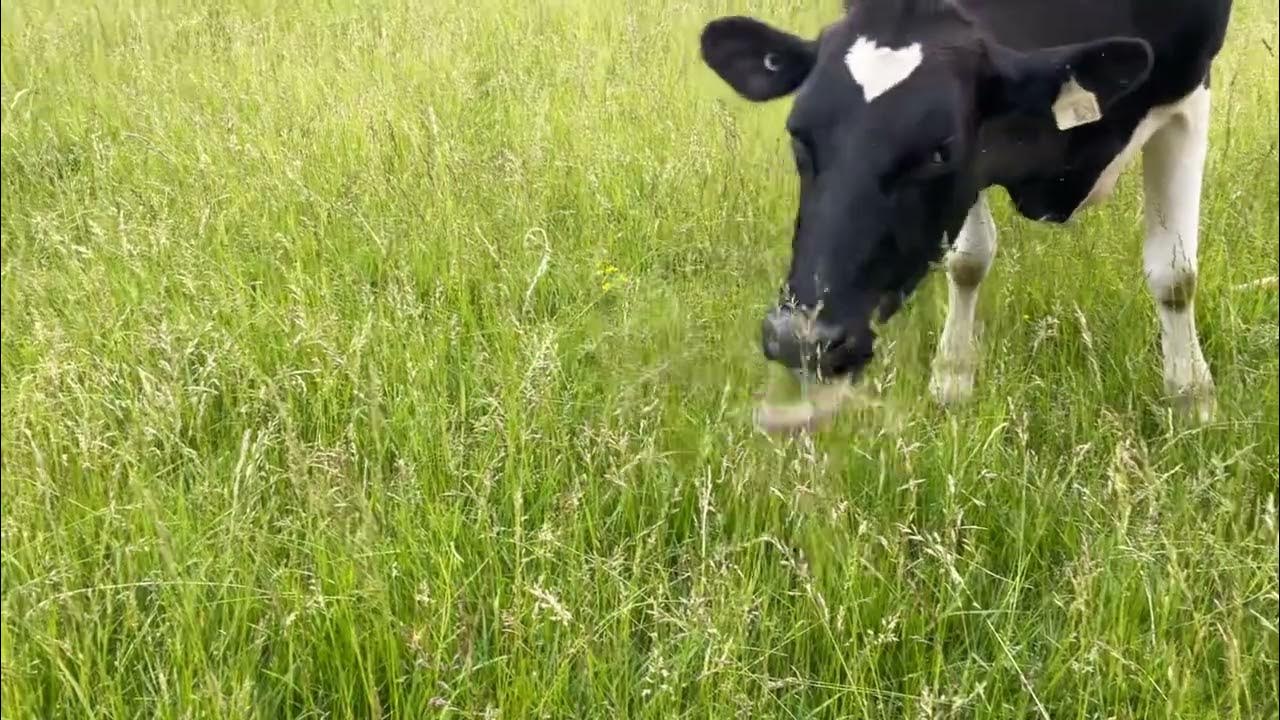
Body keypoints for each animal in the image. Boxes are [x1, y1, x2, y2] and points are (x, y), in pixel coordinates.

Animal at [699, 0, 1232, 431]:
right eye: (797, 135)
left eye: (940, 152)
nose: (797, 339)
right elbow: (968, 260)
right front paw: (952, 379)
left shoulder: (1189, 90)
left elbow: (1174, 274)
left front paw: (1192, 400)